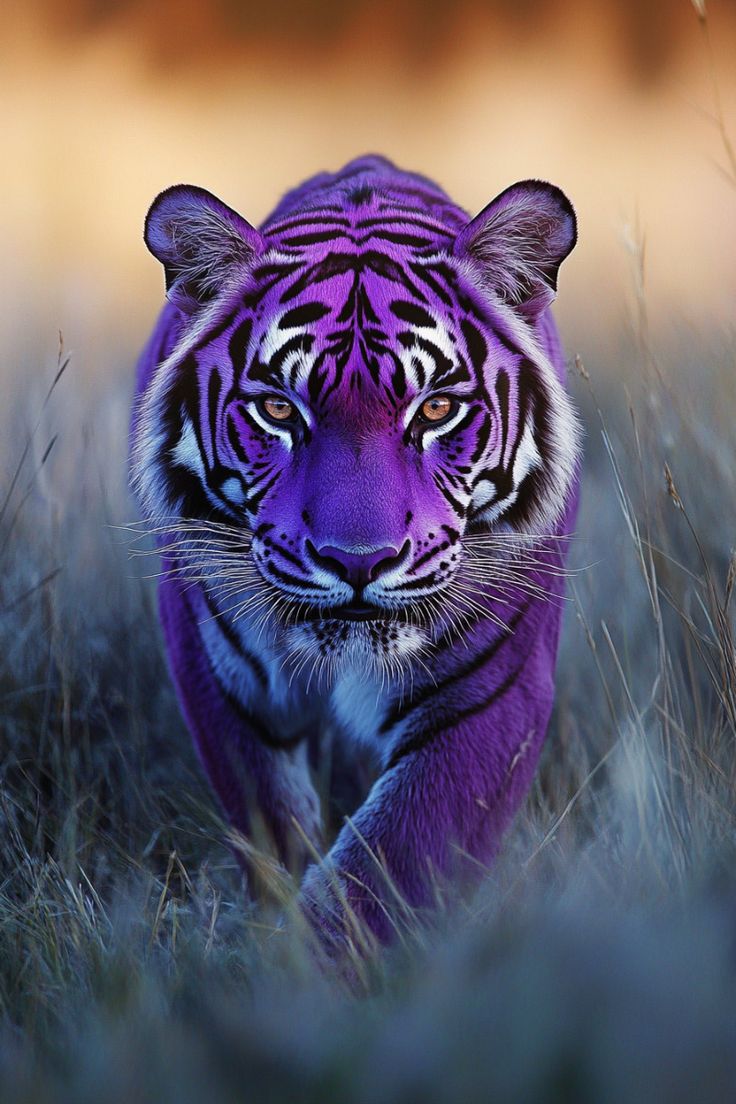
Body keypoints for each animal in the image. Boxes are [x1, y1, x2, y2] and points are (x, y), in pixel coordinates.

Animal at [131, 154, 580, 947]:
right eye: (278, 409)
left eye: (437, 408)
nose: (358, 561)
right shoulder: (220, 676)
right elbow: (273, 822)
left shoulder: (490, 696)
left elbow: (388, 865)